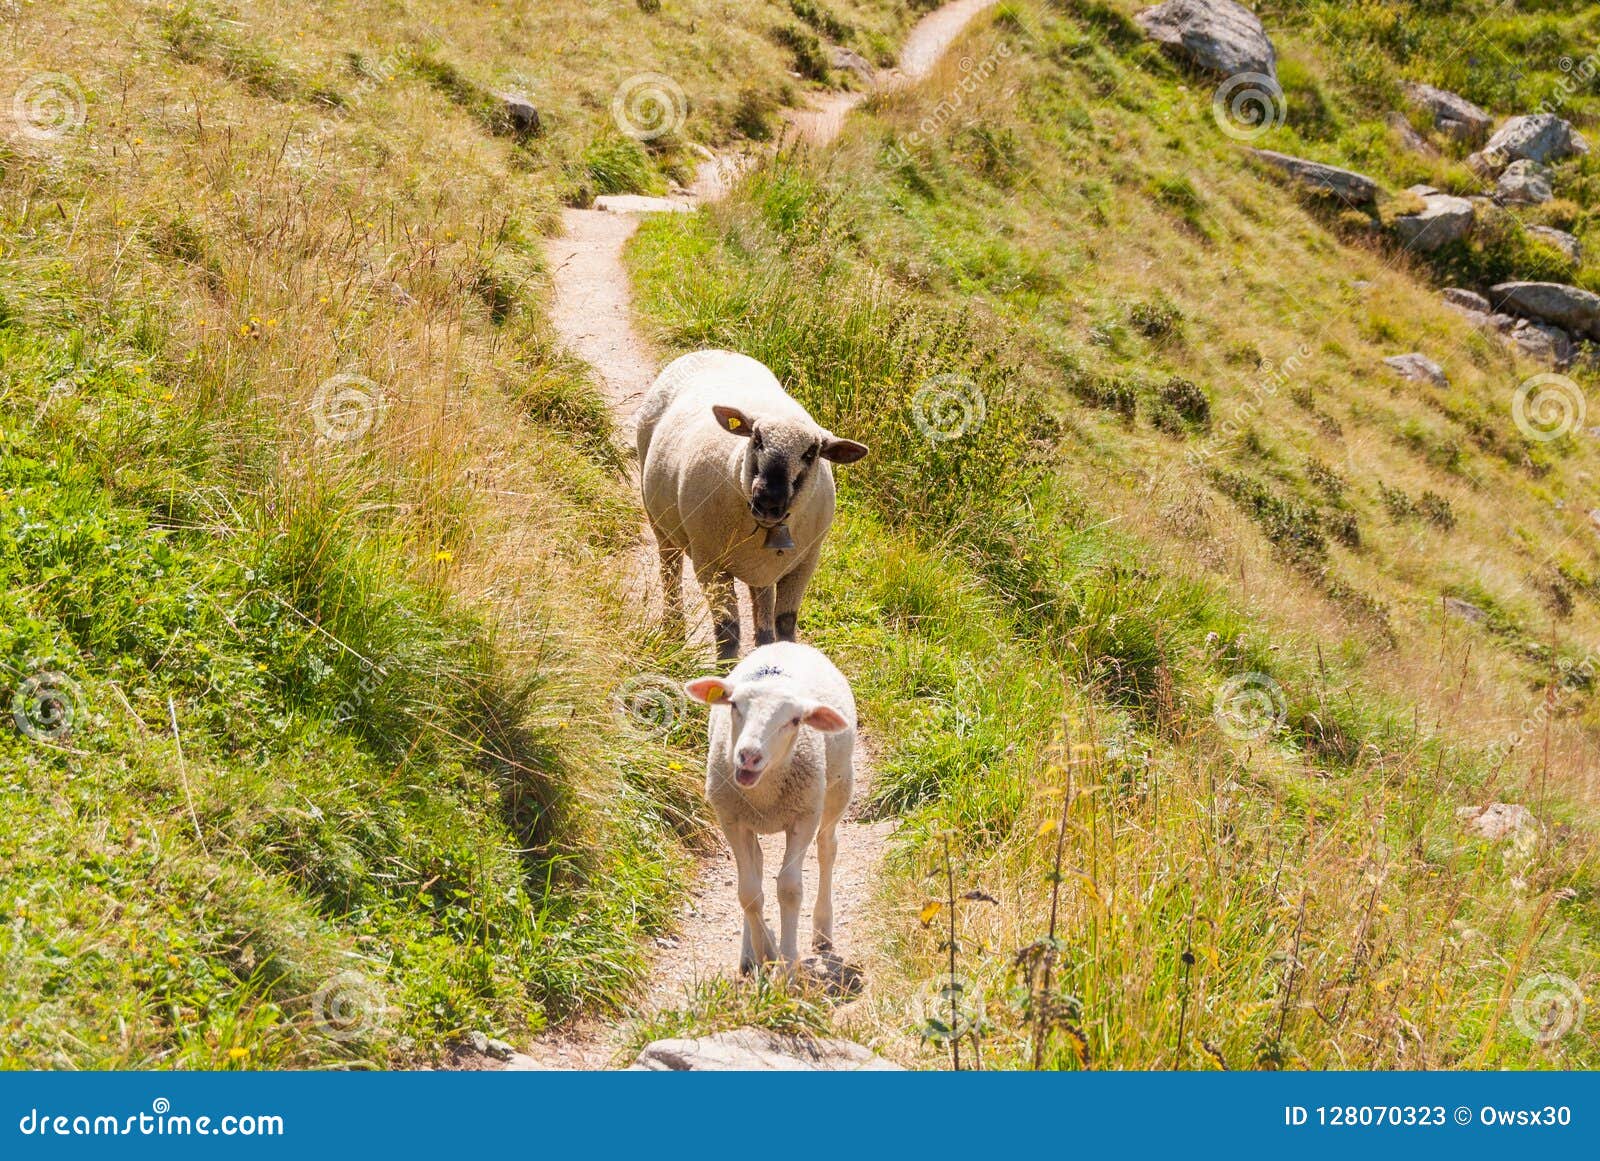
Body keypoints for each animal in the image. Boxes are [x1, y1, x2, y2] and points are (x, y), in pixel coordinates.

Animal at [636, 349, 868, 661]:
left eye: (811, 453)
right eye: (756, 440)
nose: (768, 500)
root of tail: (713, 350)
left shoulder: (805, 563)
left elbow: (785, 625)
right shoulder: (709, 562)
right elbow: (728, 631)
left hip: (762, 566)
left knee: (762, 603)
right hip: (660, 522)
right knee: (670, 574)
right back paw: (674, 634)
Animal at [684, 641, 857, 972]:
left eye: (794, 720)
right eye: (734, 706)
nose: (748, 755)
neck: (763, 793)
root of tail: (786, 643)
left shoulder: (804, 817)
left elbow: (789, 890)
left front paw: (787, 965)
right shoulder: (731, 818)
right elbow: (749, 893)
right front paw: (765, 951)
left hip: (837, 790)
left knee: (827, 848)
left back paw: (822, 929)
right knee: (758, 863)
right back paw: (751, 952)